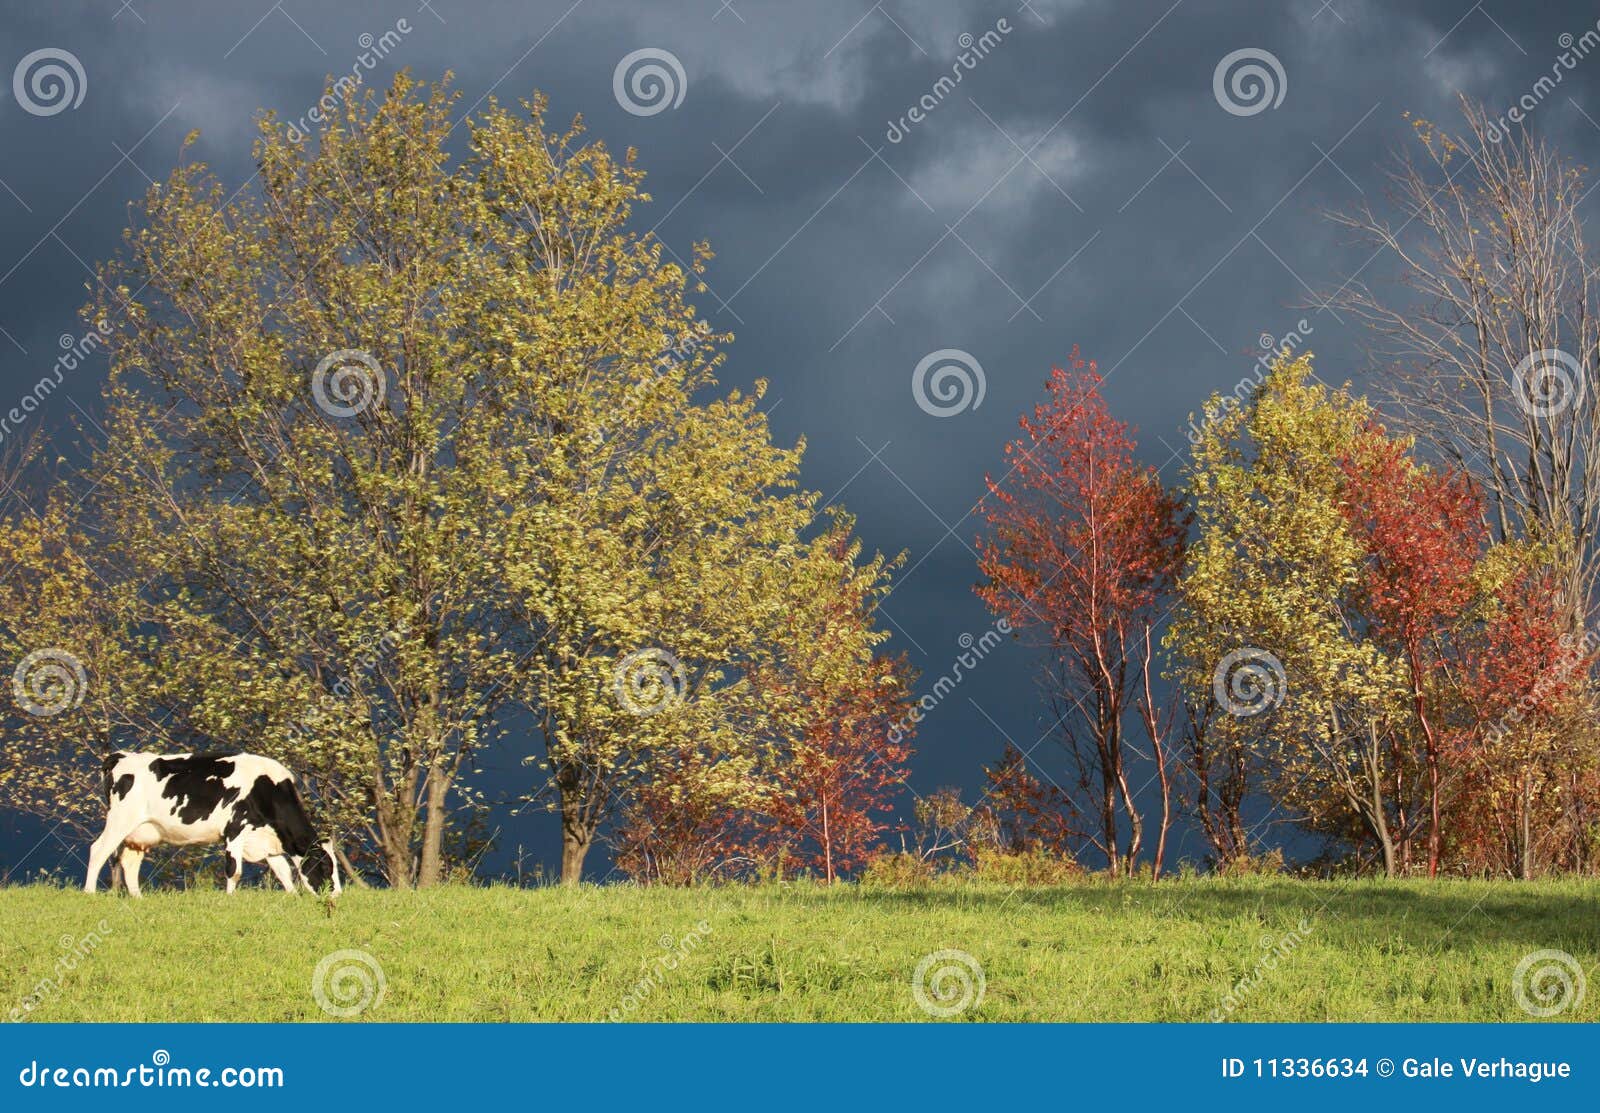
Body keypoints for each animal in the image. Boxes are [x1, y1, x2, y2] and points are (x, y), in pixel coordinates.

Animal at [86, 751, 341, 897]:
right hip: (120, 820)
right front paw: (230, 900)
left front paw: (293, 897)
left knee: (129, 861)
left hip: (142, 831)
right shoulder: (235, 829)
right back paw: (89, 893)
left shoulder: (266, 839)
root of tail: (121, 756)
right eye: (326, 866)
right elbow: (234, 870)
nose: (336, 894)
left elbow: (283, 871)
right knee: (98, 851)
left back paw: (138, 898)